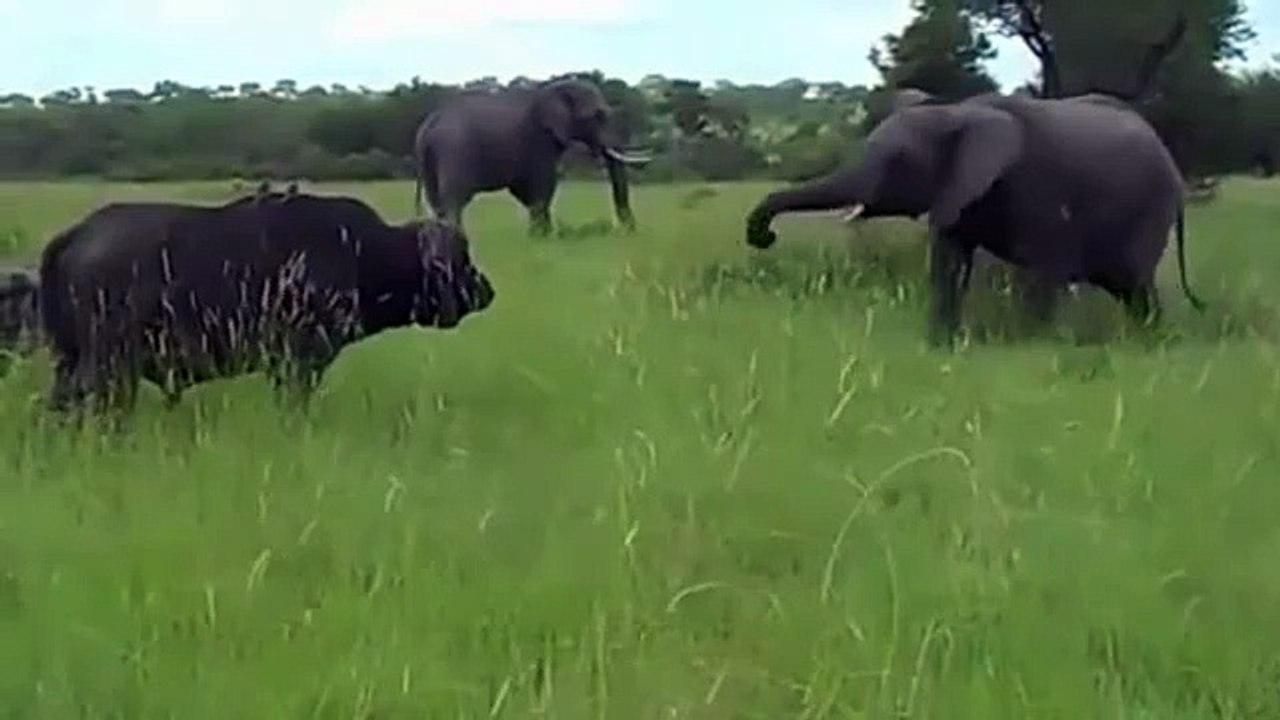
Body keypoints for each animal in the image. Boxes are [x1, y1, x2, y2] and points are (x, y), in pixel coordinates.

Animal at [39, 190, 495, 415]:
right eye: (461, 258)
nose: (485, 290)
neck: (365, 251)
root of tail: (79, 233)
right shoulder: (300, 360)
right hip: (108, 367)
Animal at [412, 76, 652, 236]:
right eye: (599, 116)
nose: (629, 231)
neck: (552, 91)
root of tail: (430, 125)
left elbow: (524, 191)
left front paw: (539, 235)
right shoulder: (538, 141)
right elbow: (542, 186)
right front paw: (545, 237)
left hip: (428, 158)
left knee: (437, 201)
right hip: (454, 152)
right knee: (453, 199)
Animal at [745, 88, 1205, 346]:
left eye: (899, 160)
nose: (764, 237)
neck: (955, 113)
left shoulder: (1035, 185)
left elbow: (1041, 268)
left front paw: (1031, 346)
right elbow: (948, 261)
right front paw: (940, 346)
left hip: (1150, 210)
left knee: (1137, 284)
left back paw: (1148, 342)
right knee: (1129, 288)